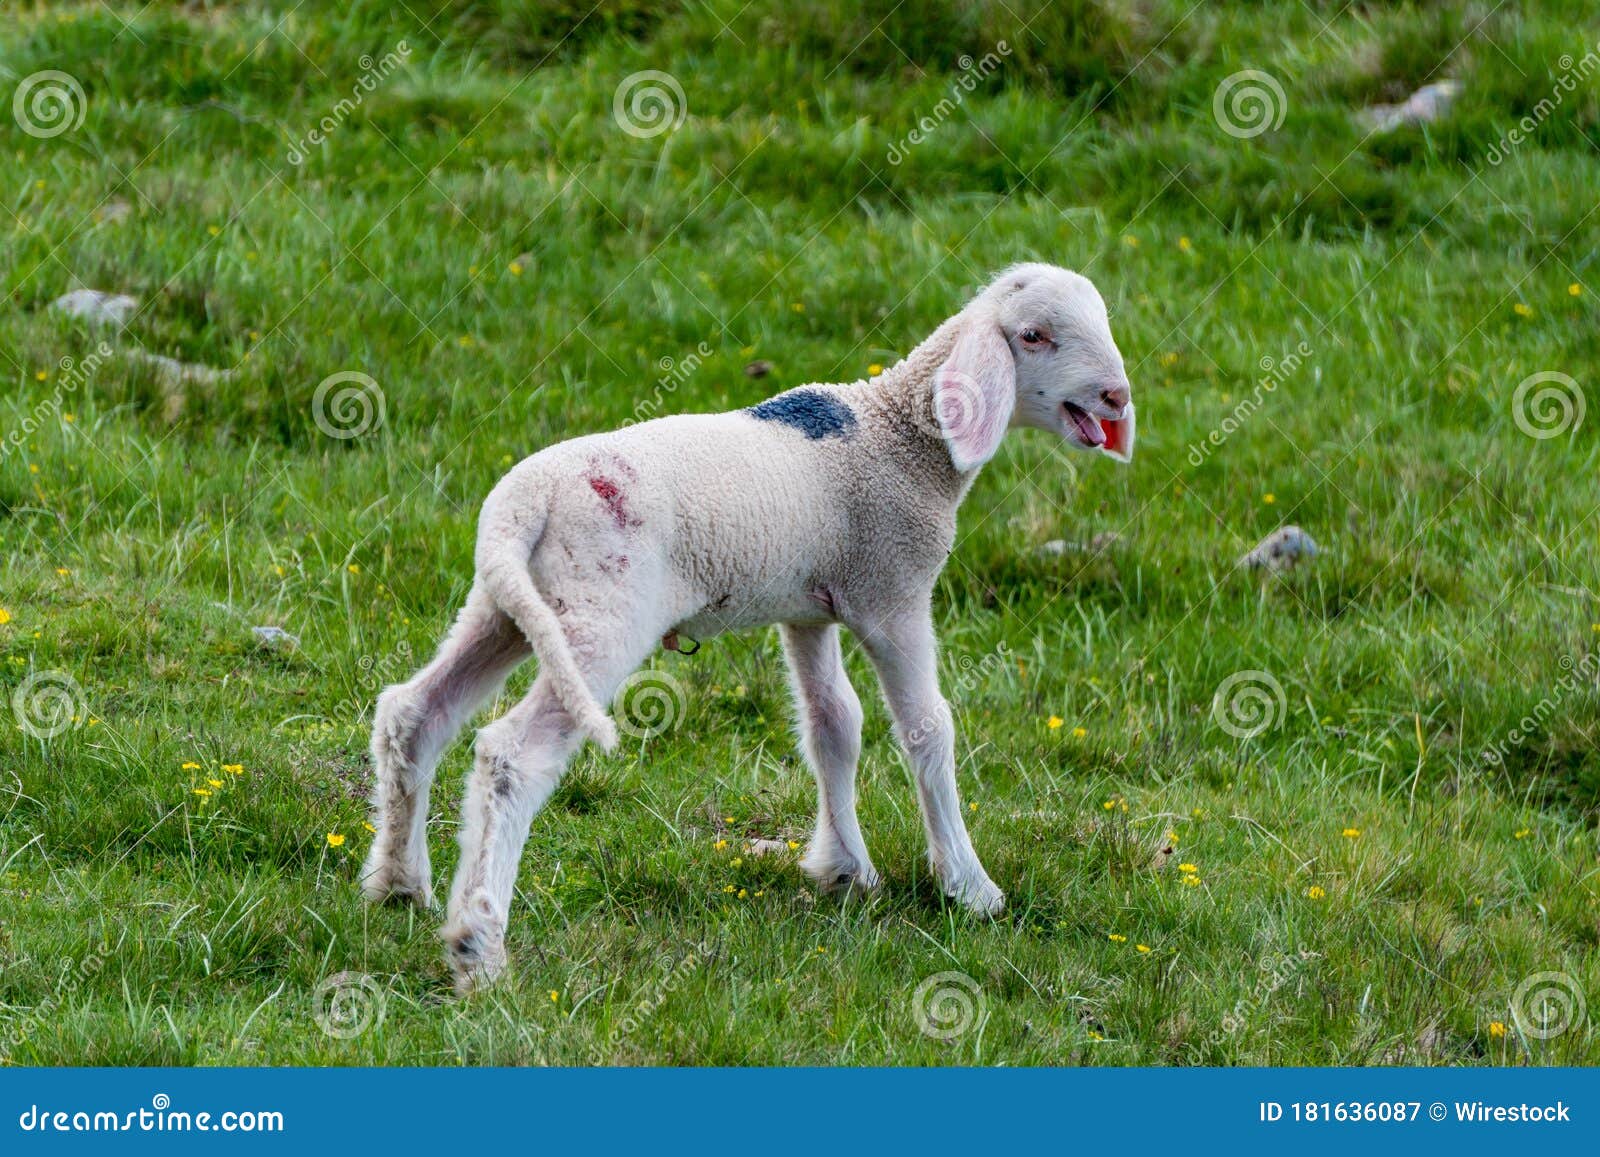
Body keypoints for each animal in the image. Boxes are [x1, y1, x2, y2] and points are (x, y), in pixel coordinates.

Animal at [361, 262, 1136, 992]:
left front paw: (845, 870)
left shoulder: (809, 605)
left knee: (414, 711)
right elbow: (926, 729)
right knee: (510, 756)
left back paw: (398, 885)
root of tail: (521, 506)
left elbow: (833, 724)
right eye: (1033, 335)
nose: (1117, 398)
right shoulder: (893, 592)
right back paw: (479, 947)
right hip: (601, 611)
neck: (901, 433)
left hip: (508, 606)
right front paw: (970, 888)